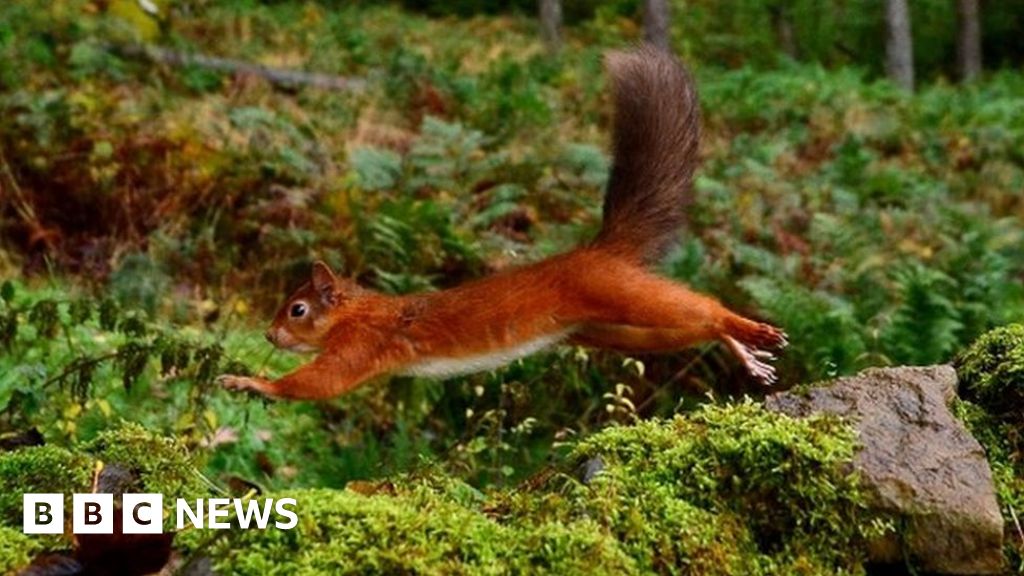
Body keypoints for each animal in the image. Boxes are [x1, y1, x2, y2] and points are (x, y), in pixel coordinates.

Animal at [217, 46, 787, 401]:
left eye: (297, 309)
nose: (268, 335)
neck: (362, 312)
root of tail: (598, 251)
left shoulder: (361, 346)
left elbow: (321, 384)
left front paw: (251, 384)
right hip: (614, 332)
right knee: (691, 329)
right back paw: (742, 352)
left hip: (621, 295)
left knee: (702, 309)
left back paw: (746, 328)